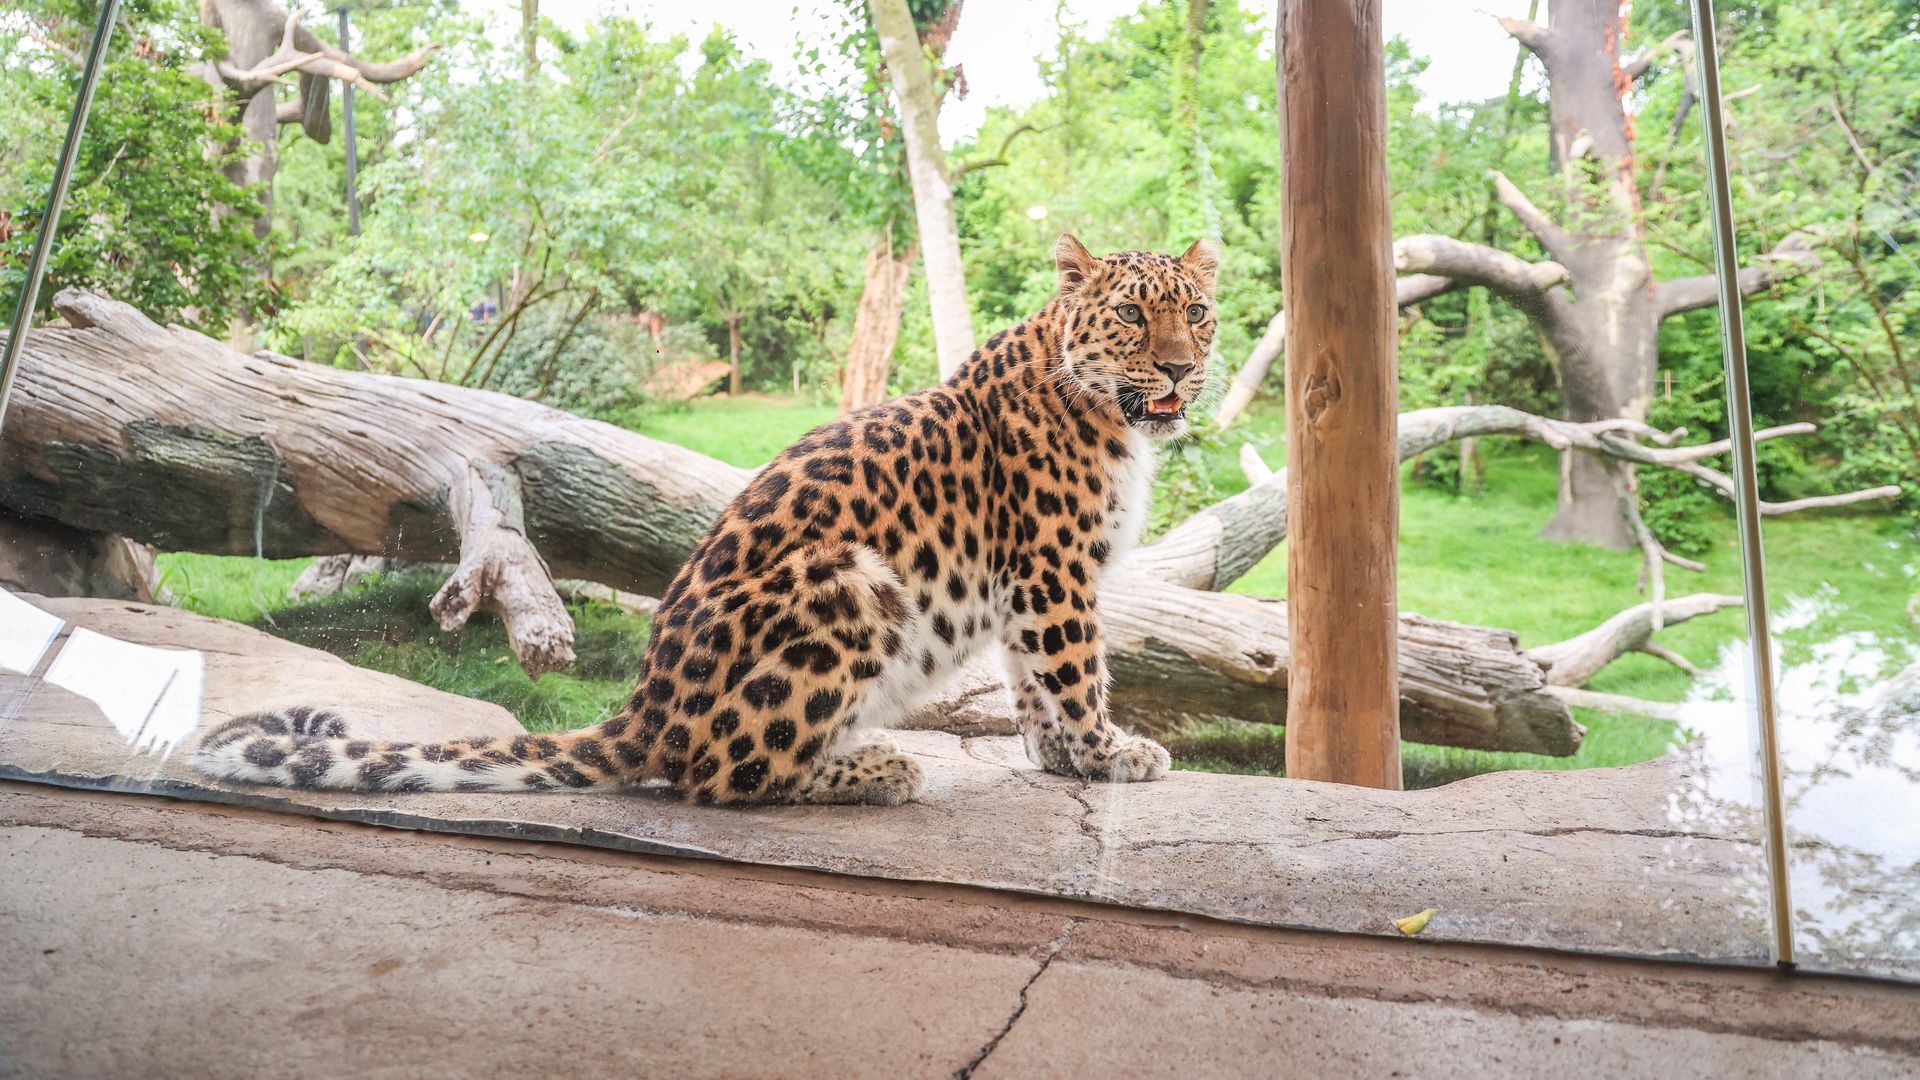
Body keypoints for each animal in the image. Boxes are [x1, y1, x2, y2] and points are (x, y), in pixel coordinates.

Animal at [193, 234, 1219, 807]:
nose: (1179, 369)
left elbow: (1029, 678)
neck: (1110, 414)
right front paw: (1111, 753)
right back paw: (875, 769)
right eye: (1134, 317)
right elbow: (1075, 672)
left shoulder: (1026, 579)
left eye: (1199, 314)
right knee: (720, 776)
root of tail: (644, 706)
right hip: (850, 582)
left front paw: (1059, 759)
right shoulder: (1053, 571)